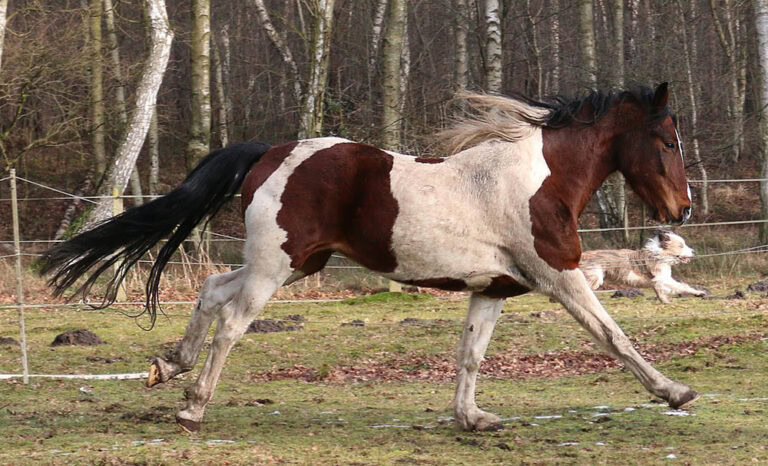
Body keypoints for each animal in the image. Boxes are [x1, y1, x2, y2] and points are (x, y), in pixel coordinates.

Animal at [39, 82, 697, 433]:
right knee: (231, 321)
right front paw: (674, 392)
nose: (683, 210)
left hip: (296, 263)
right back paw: (192, 409)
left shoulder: (492, 288)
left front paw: (472, 419)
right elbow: (614, 335)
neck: (540, 181)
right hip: (277, 266)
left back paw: (168, 365)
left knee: (211, 289)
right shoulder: (557, 276)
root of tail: (269, 151)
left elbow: (470, 356)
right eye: (667, 141)